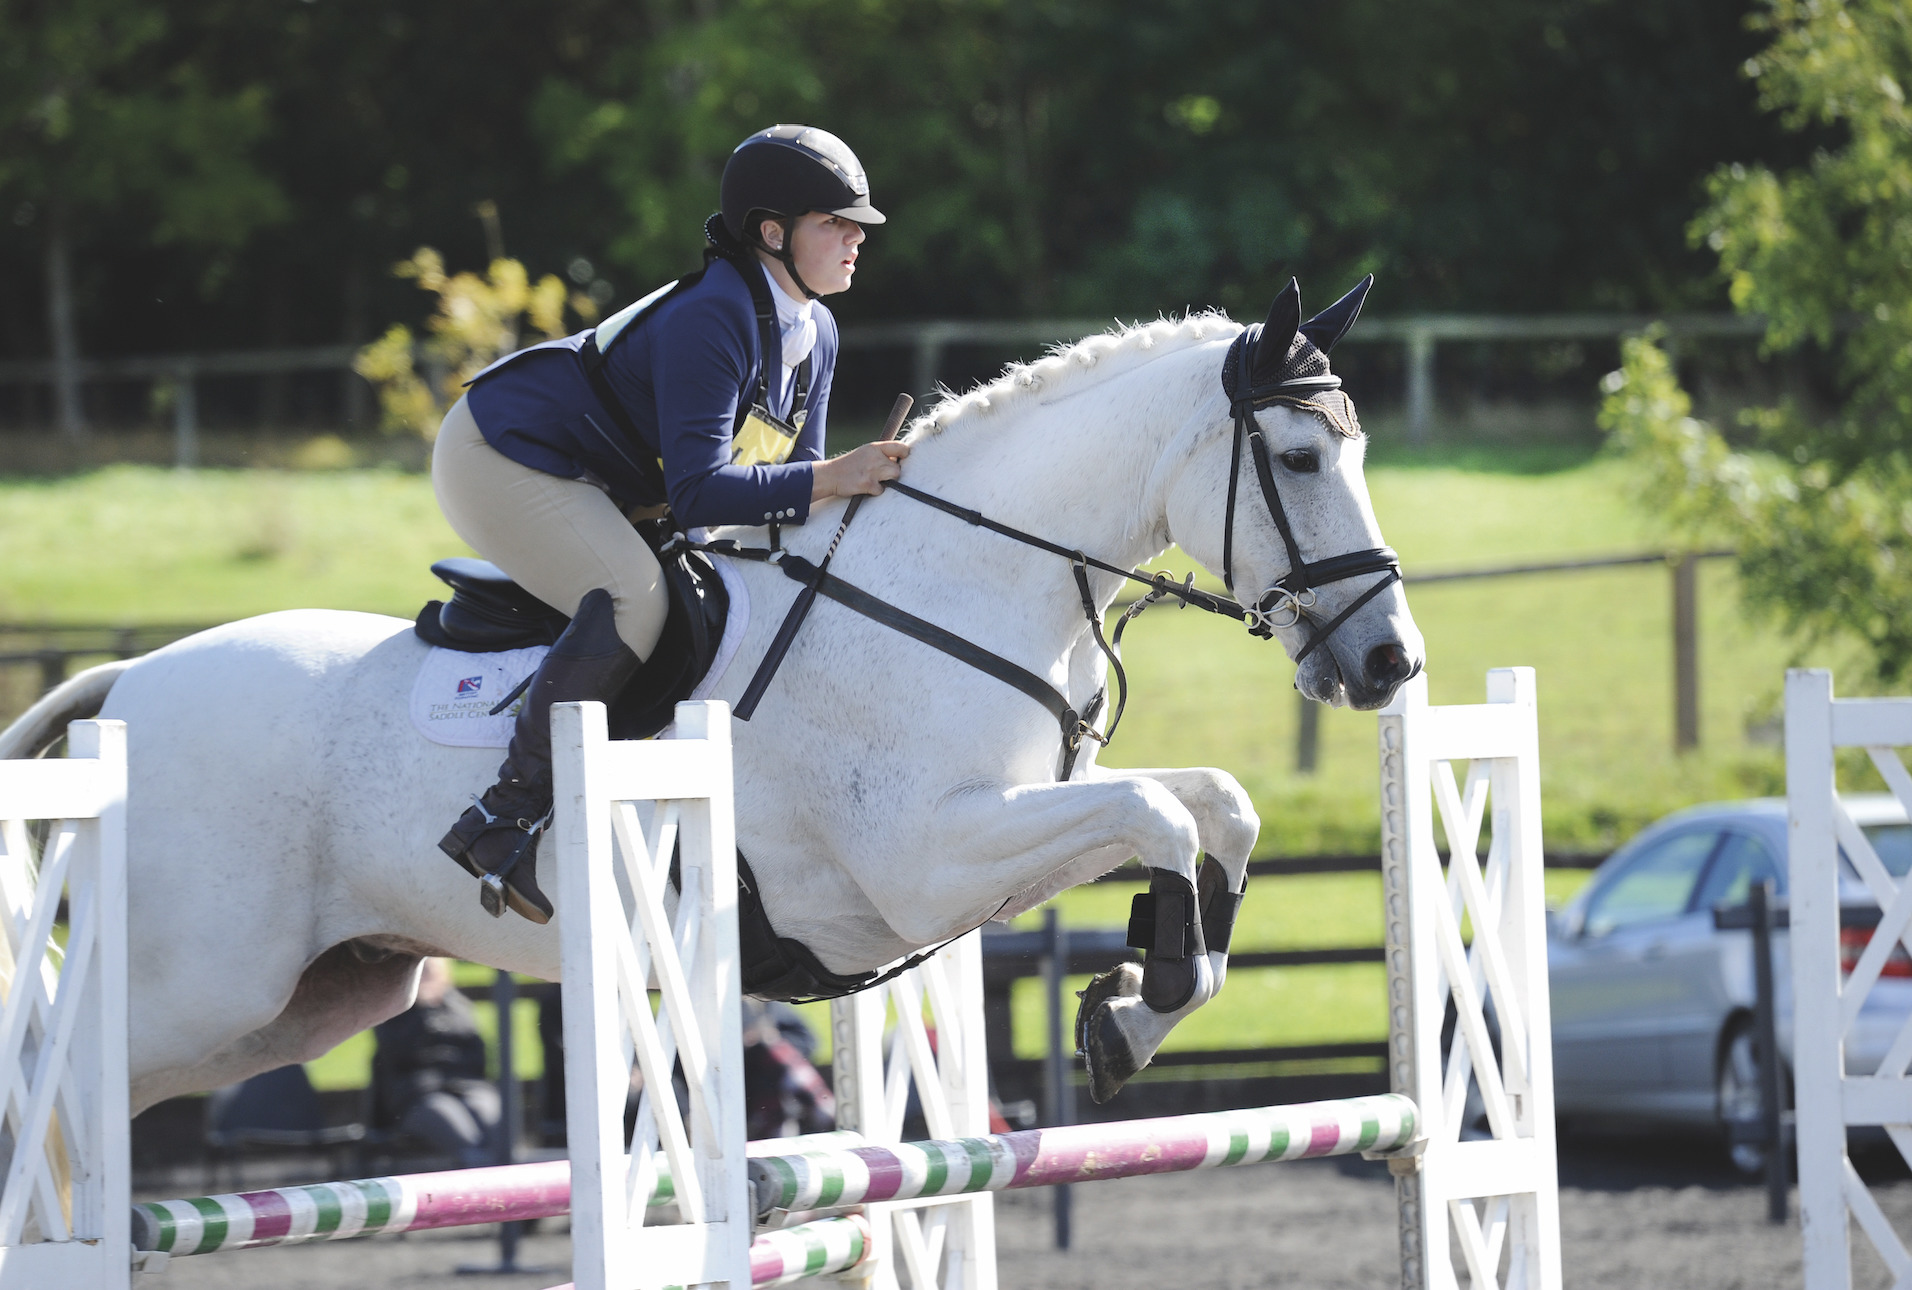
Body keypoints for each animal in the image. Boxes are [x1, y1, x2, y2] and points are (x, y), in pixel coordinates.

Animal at [1, 281, 1424, 1113]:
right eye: (1301, 457)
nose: (1390, 665)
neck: (961, 577)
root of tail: (128, 680)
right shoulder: (924, 863)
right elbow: (1164, 819)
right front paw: (1136, 996)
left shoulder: (1001, 828)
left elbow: (1215, 807)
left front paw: (1137, 1002)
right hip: (206, 983)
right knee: (61, 1093)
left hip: (305, 999)